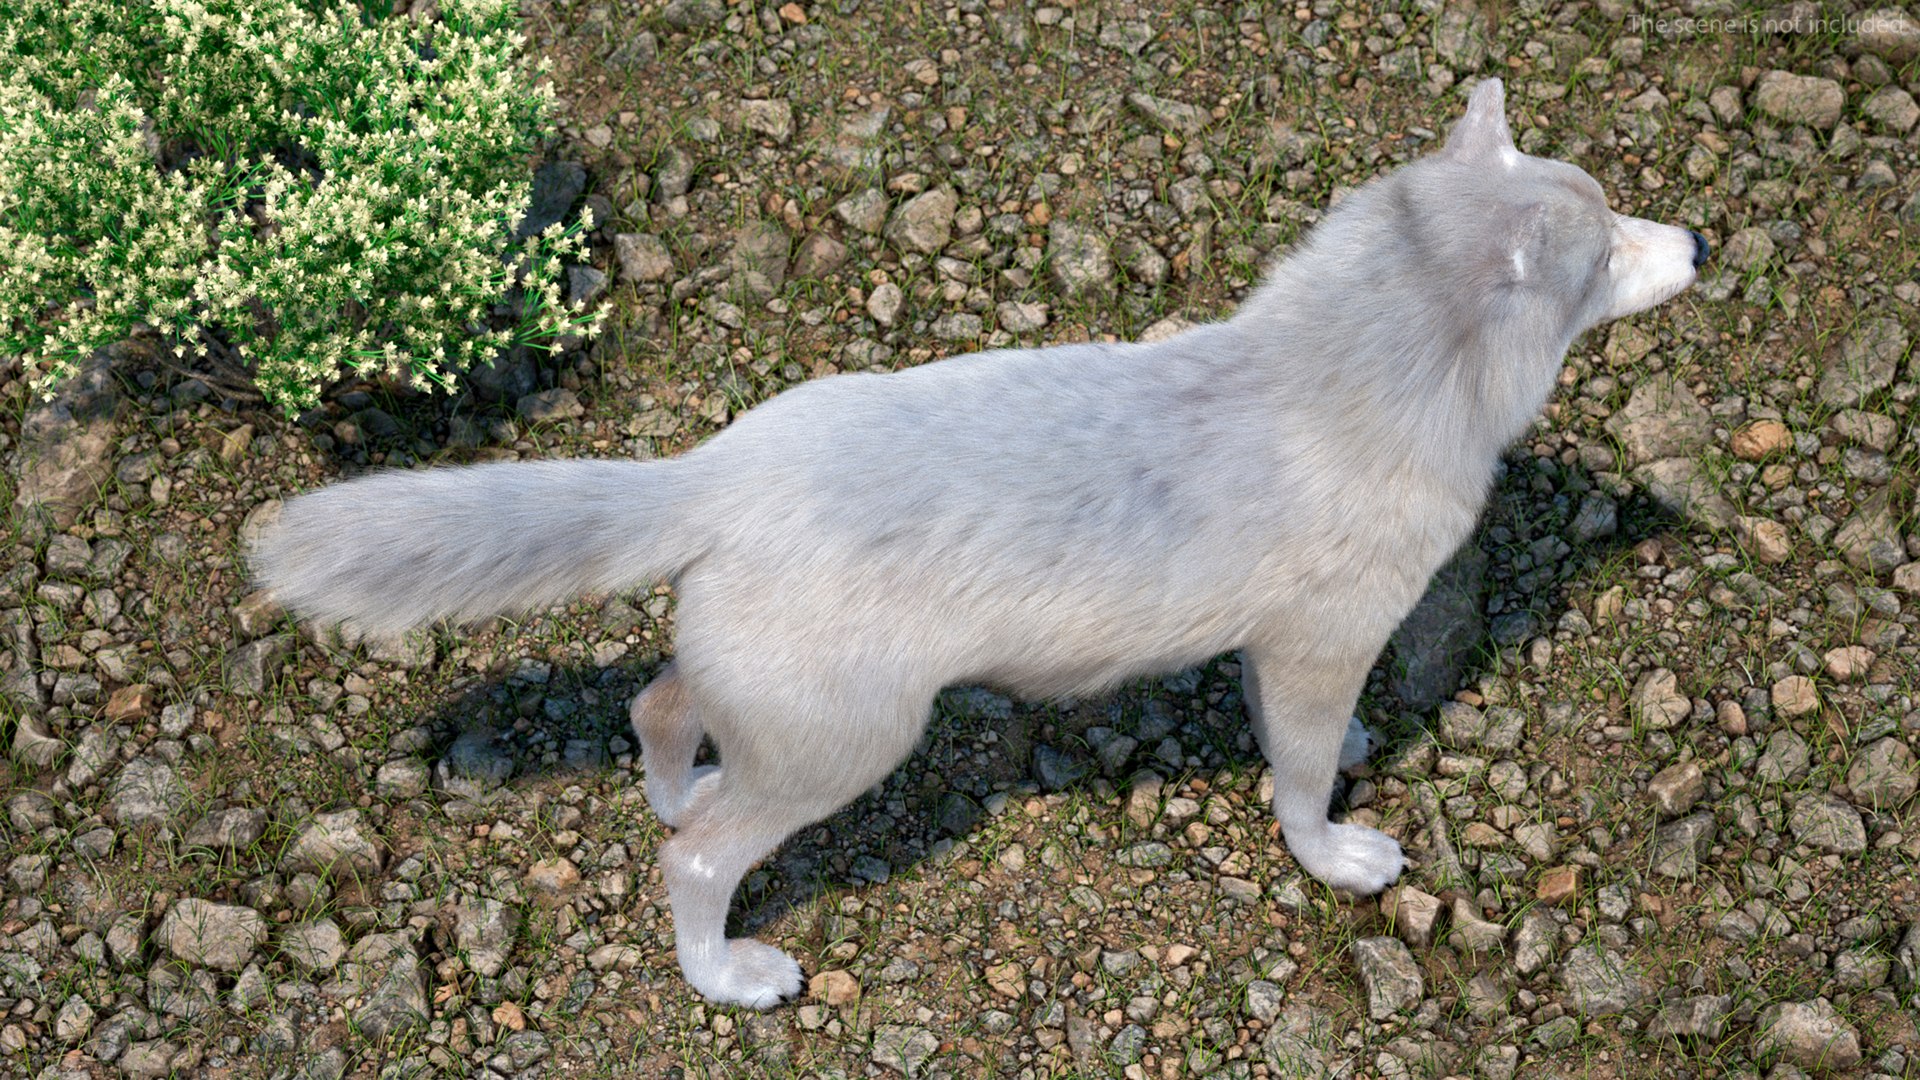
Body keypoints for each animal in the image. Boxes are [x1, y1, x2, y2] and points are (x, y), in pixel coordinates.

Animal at [250, 80, 1707, 1008]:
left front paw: (1355, 751)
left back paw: (674, 782)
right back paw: (729, 974)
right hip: (848, 739)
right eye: (1601, 255)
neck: (1339, 377)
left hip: (762, 687)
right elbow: (1295, 778)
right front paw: (1343, 852)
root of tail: (719, 474)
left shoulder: (1271, 647)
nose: (1696, 239)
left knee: (662, 706)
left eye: (1619, 210)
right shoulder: (1316, 640)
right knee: (700, 855)